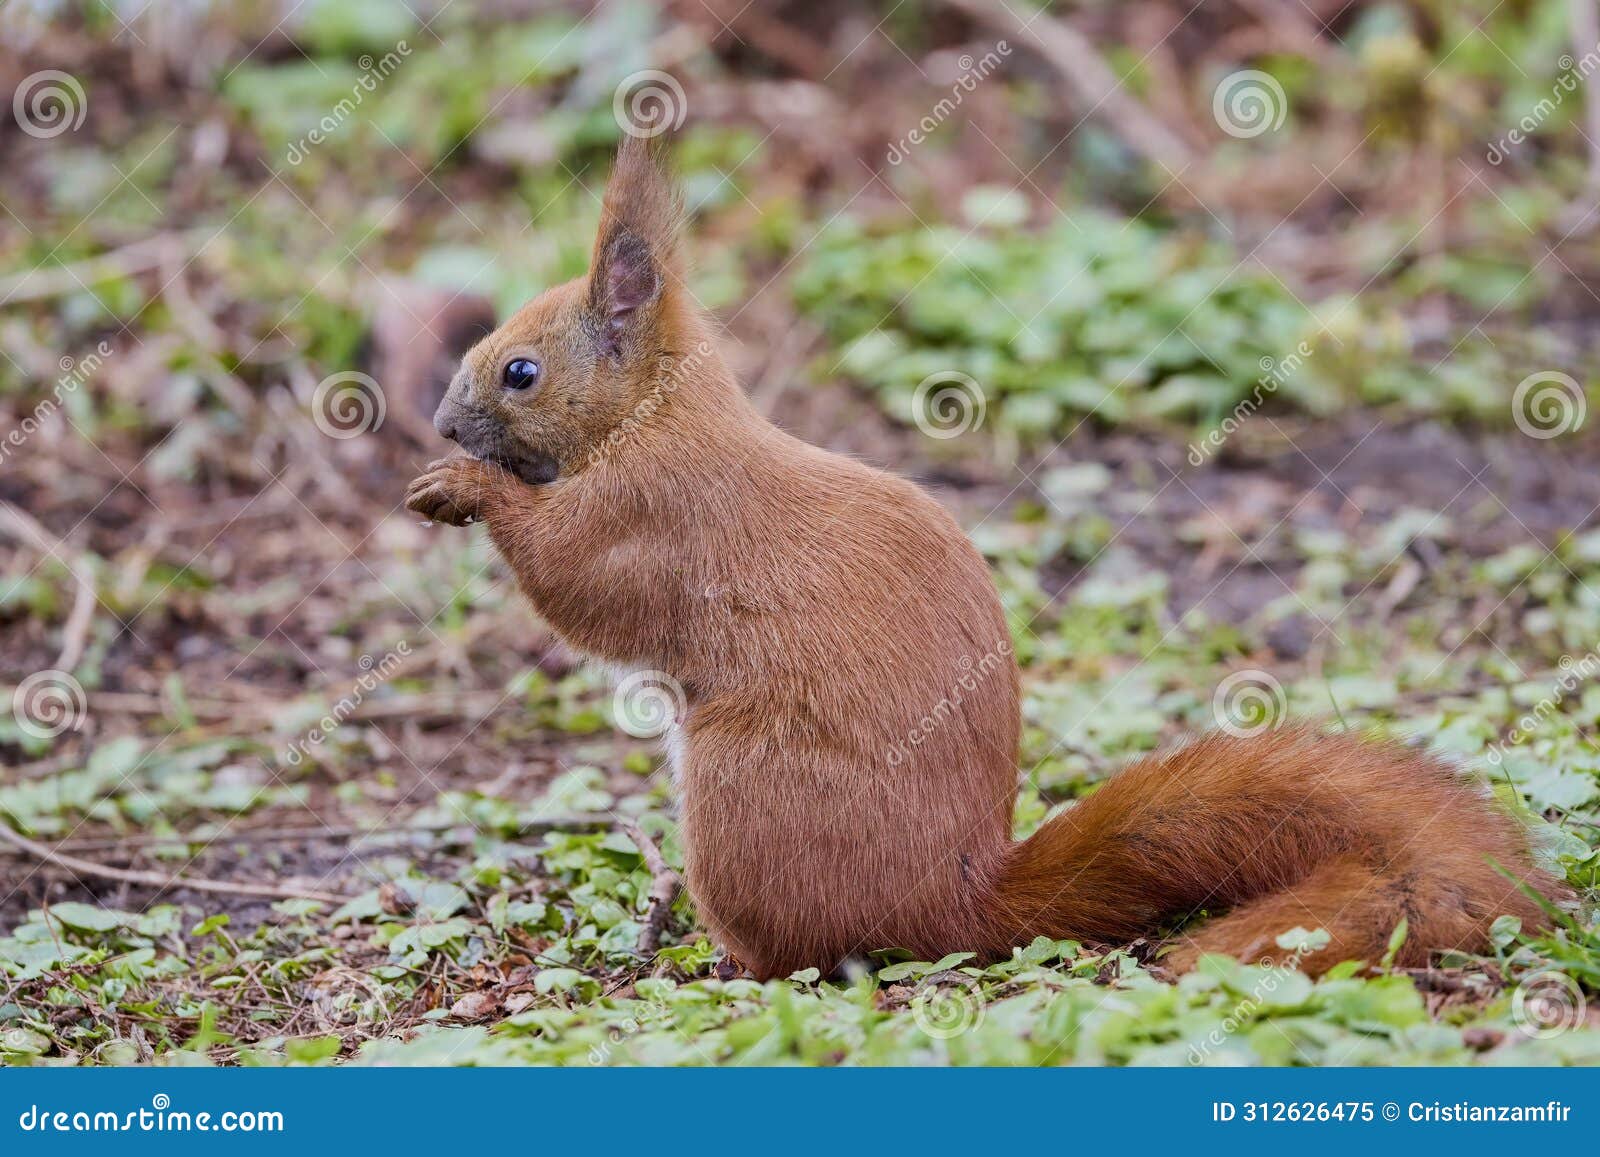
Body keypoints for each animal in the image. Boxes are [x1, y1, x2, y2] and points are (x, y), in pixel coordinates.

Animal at [406, 138, 1569, 981]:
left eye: (518, 370)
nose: (445, 421)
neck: (659, 411)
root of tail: (957, 898)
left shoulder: (649, 509)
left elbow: (575, 579)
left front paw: (459, 489)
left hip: (737, 793)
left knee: (804, 954)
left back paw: (718, 958)